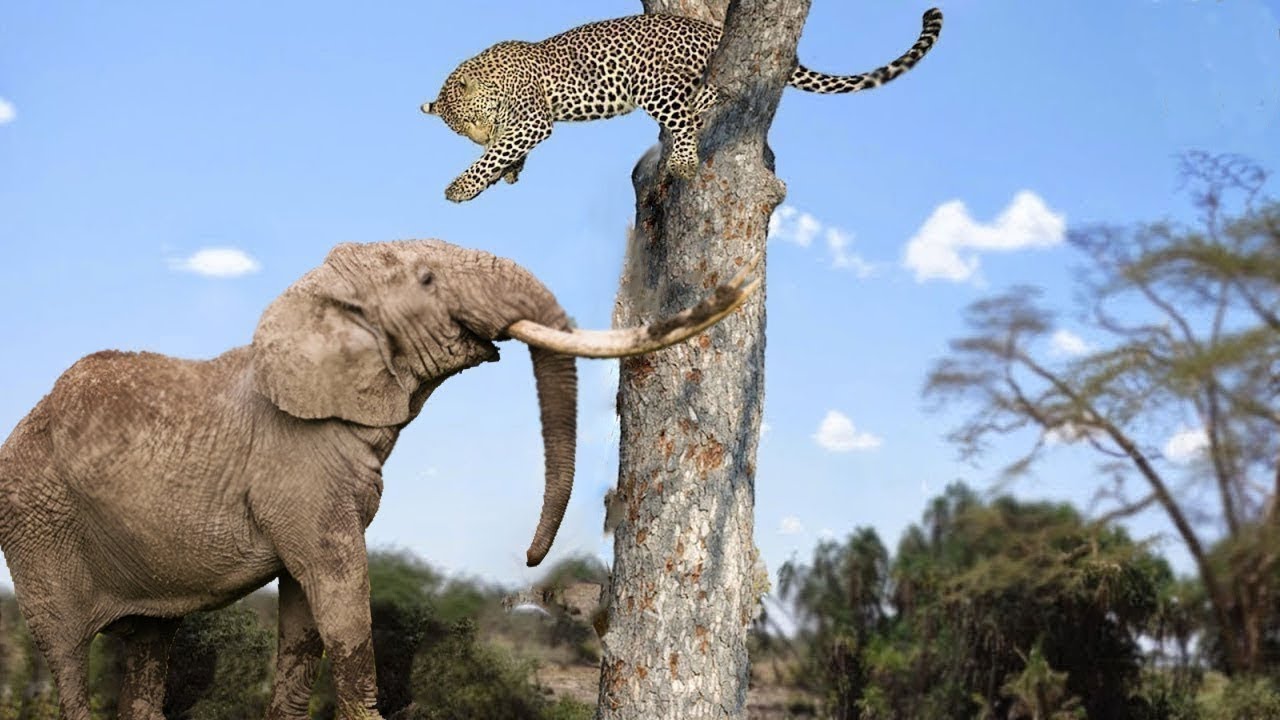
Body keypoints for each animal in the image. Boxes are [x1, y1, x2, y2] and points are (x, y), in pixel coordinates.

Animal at [0, 239, 759, 720]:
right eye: (425, 280)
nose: (530, 558)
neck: (321, 301)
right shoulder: (298, 464)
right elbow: (339, 594)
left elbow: (305, 618)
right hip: (36, 523)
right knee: (65, 652)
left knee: (150, 642)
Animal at [421, 8, 944, 202]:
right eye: (458, 129)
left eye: (470, 121)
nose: (477, 137)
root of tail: (708, 29)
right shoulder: (526, 124)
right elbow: (505, 153)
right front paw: (508, 173)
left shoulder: (532, 119)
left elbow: (497, 151)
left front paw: (459, 187)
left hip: (651, 82)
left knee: (694, 109)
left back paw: (686, 160)